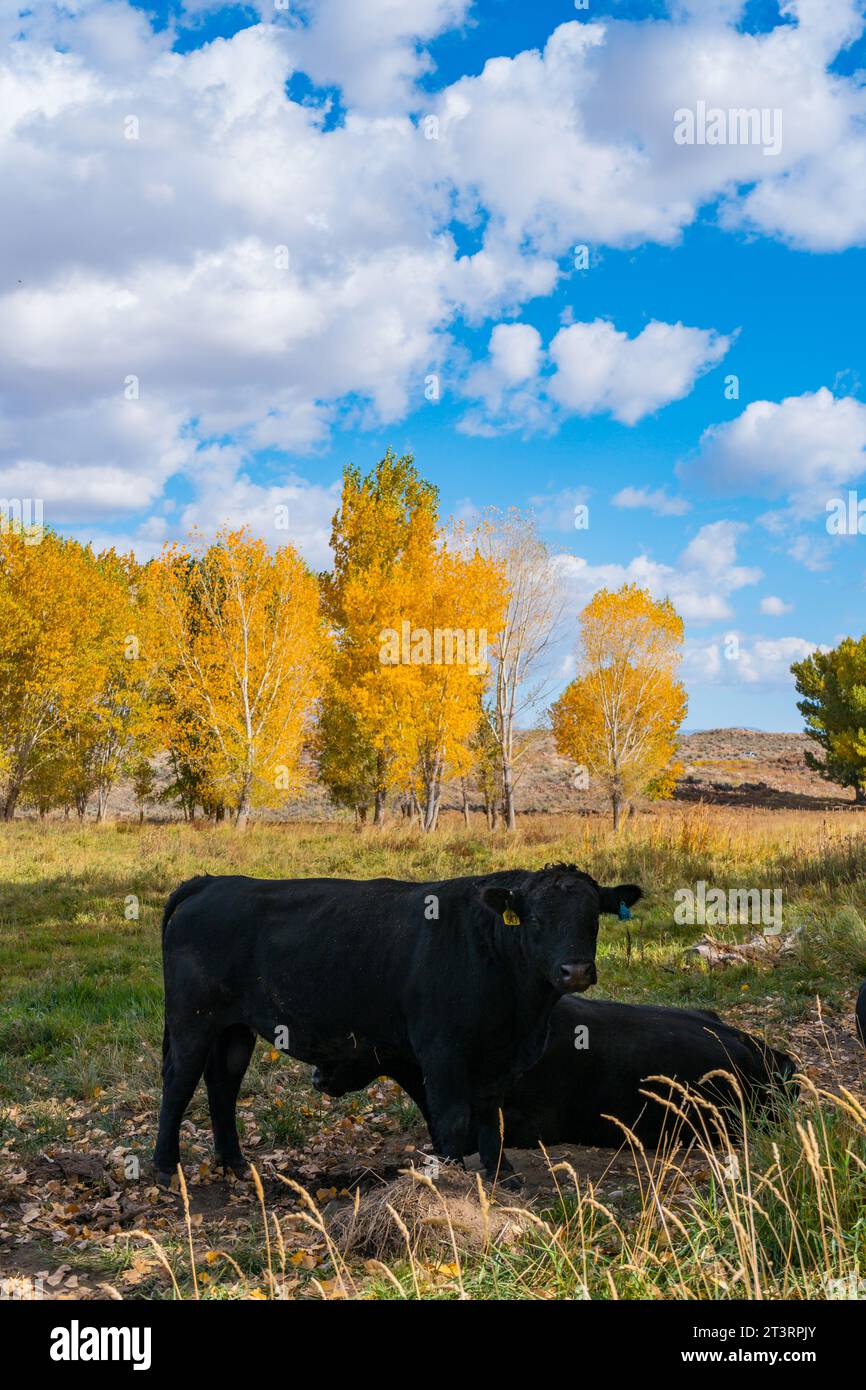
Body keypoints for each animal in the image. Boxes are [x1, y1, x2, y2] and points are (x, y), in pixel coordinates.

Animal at [153, 866, 643, 1186]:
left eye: (593, 918)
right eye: (536, 918)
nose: (575, 971)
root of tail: (213, 882)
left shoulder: (500, 1059)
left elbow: (492, 1115)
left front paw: (502, 1175)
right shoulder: (442, 1051)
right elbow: (451, 1118)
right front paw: (451, 1179)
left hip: (233, 1027)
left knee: (222, 1083)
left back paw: (234, 1164)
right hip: (191, 1021)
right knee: (178, 1082)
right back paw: (164, 1168)